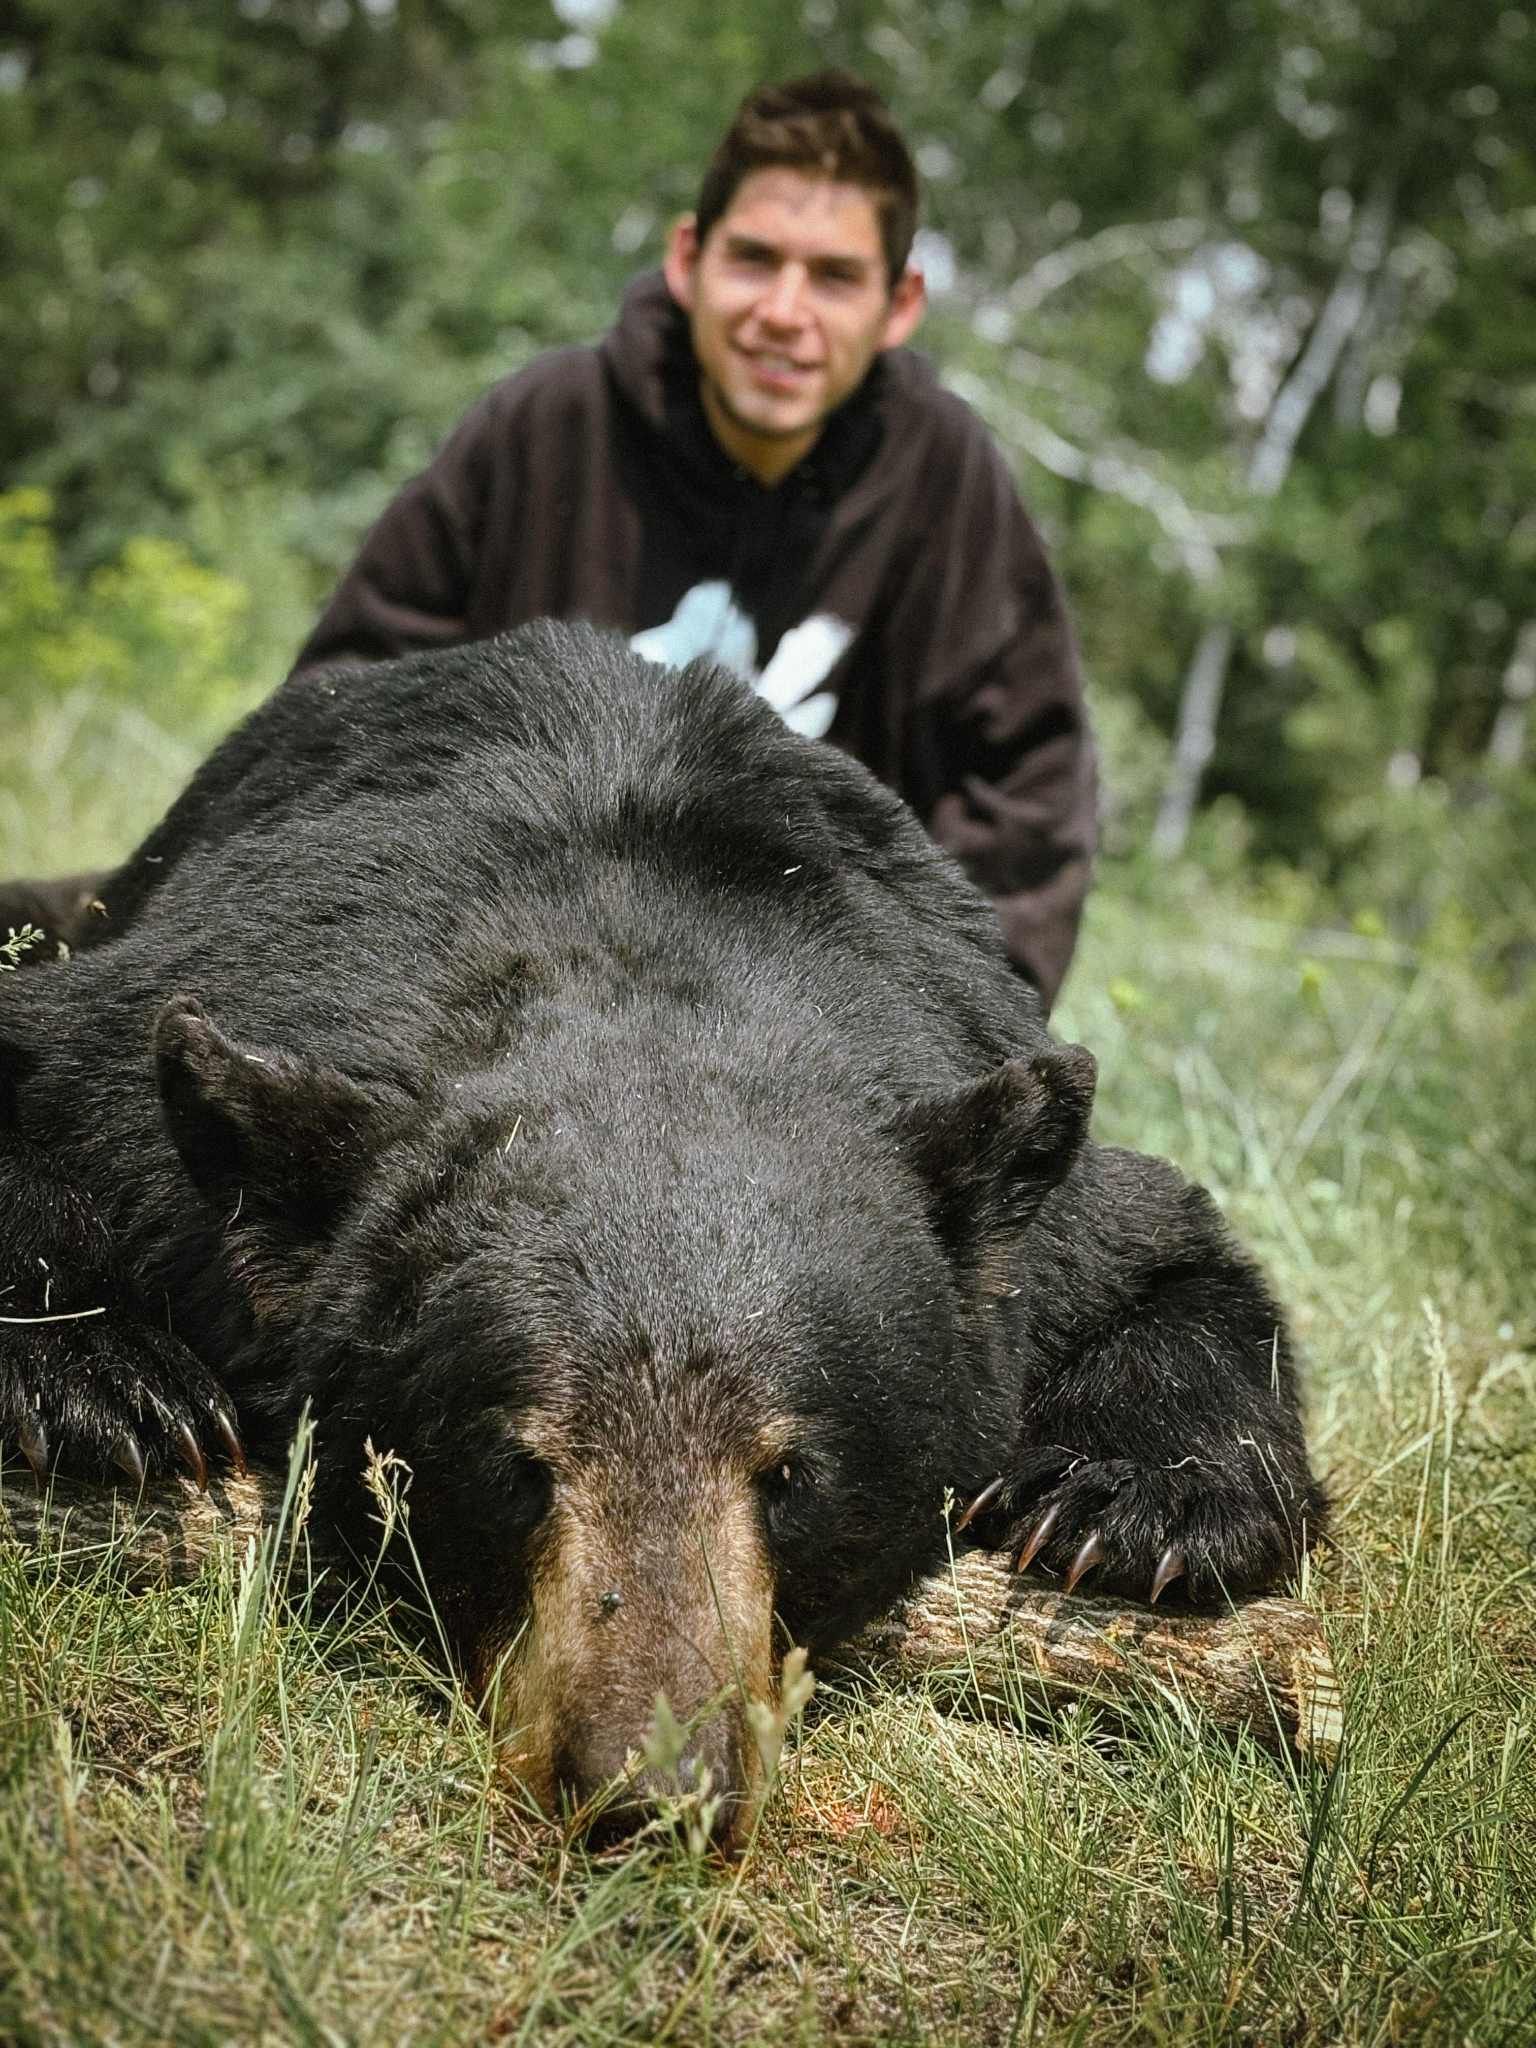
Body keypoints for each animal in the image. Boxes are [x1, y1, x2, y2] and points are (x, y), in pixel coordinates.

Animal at [0, 622, 1324, 1845]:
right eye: (515, 1464)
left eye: (791, 1475)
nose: (650, 1787)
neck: (634, 953)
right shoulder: (188, 1032)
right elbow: (46, 1071)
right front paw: (107, 1376)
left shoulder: (1012, 1179)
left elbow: (1161, 1250)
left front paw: (1130, 1506)